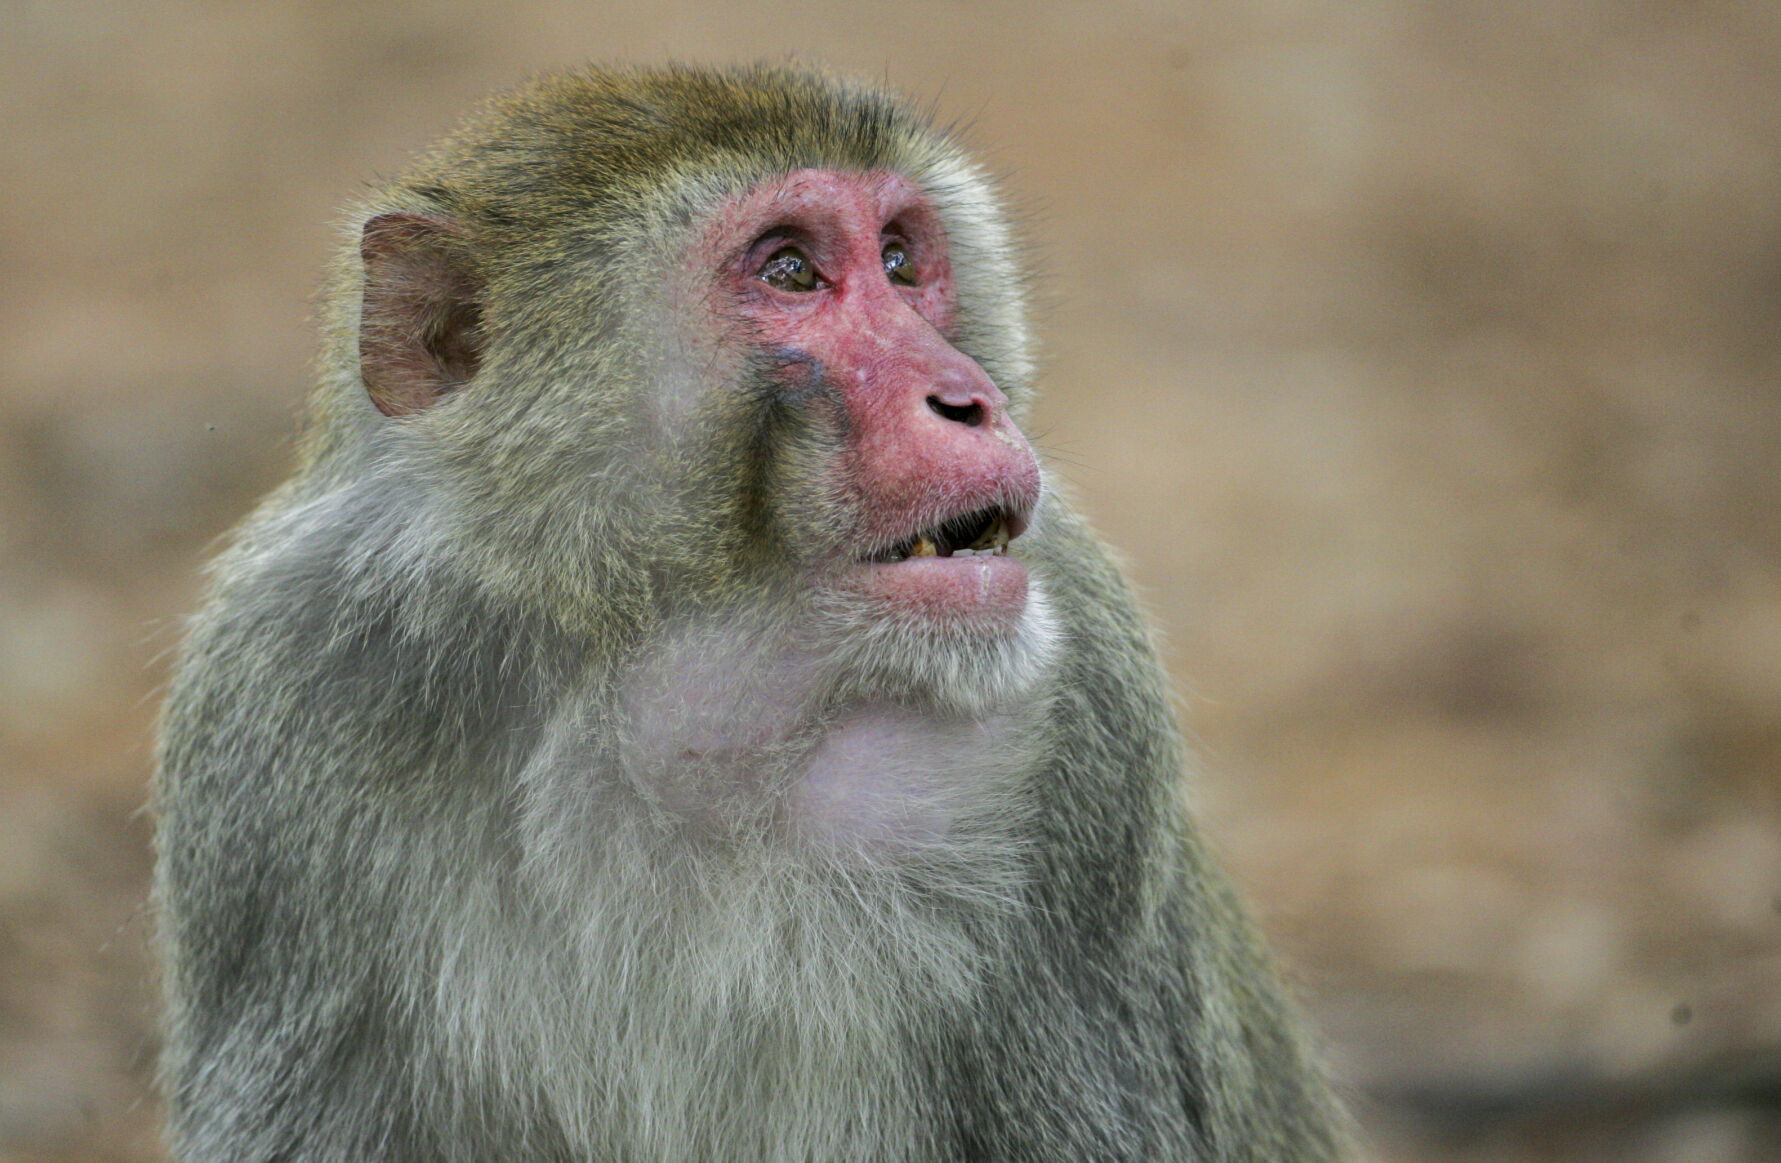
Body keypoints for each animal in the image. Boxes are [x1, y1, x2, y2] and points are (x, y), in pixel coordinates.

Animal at [153, 64, 1356, 1162]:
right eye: (789, 270)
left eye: (902, 259)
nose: (969, 397)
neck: (665, 661)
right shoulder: (276, 699)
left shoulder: (1089, 718)